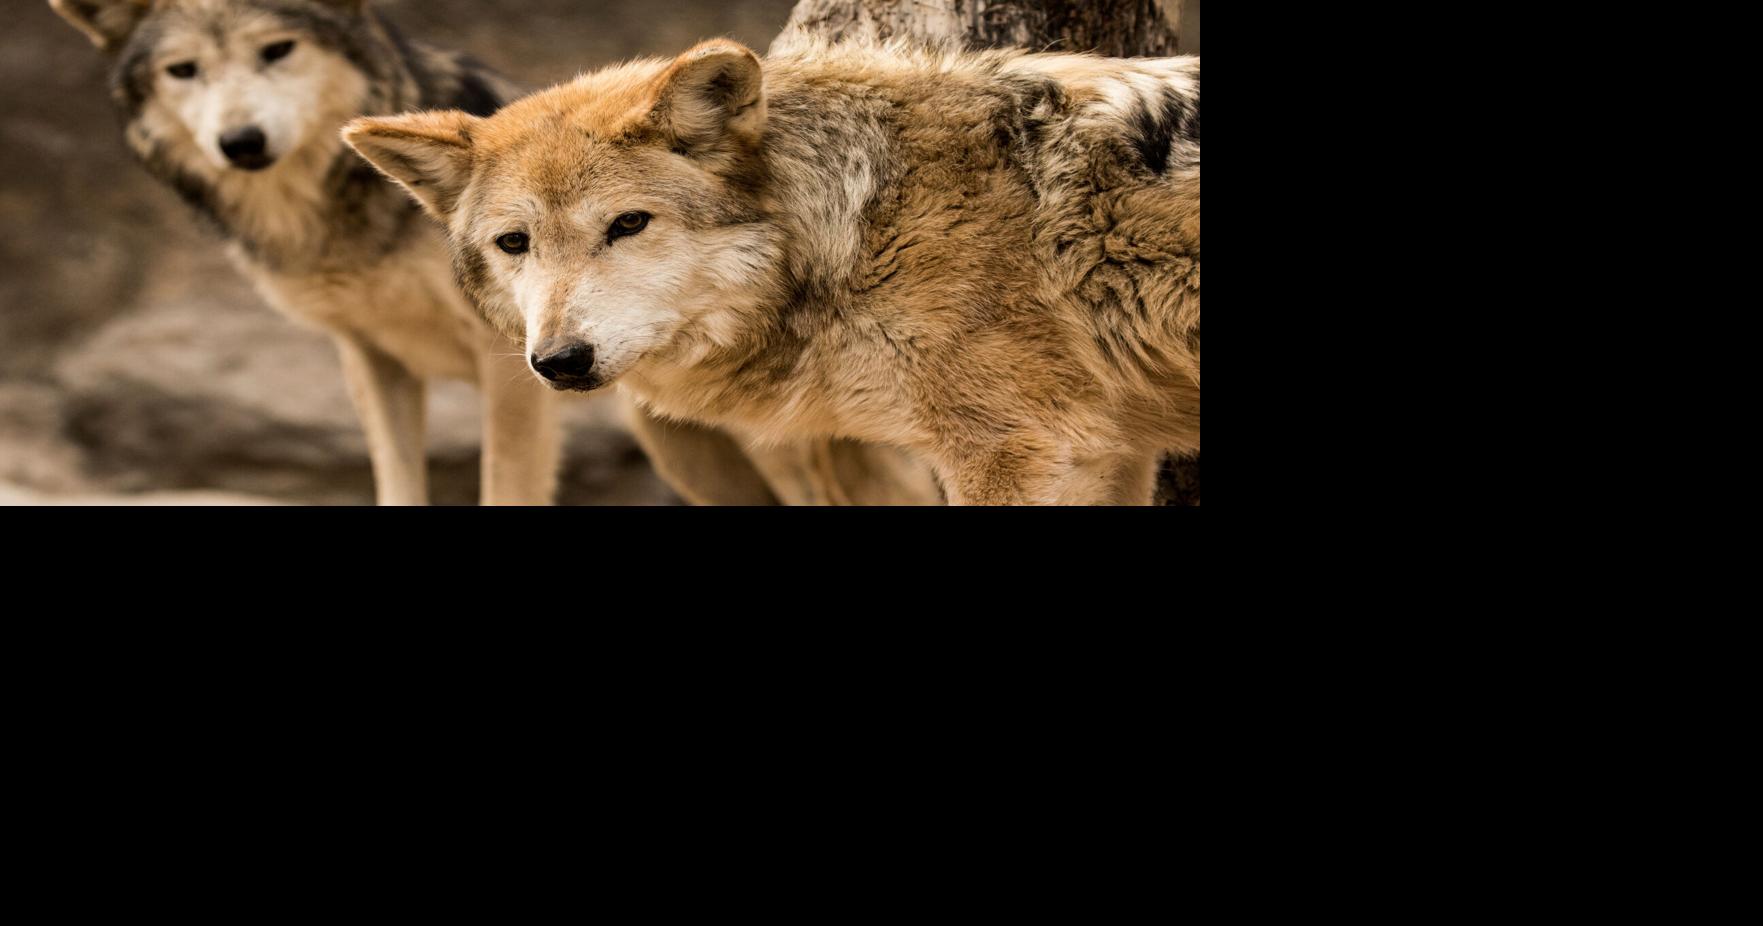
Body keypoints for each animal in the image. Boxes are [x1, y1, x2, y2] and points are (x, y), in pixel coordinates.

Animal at [345, 37, 1200, 504]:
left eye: (628, 225)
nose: (559, 361)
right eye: (514, 243)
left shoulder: (1011, 451)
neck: (858, 221)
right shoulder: (1109, 450)